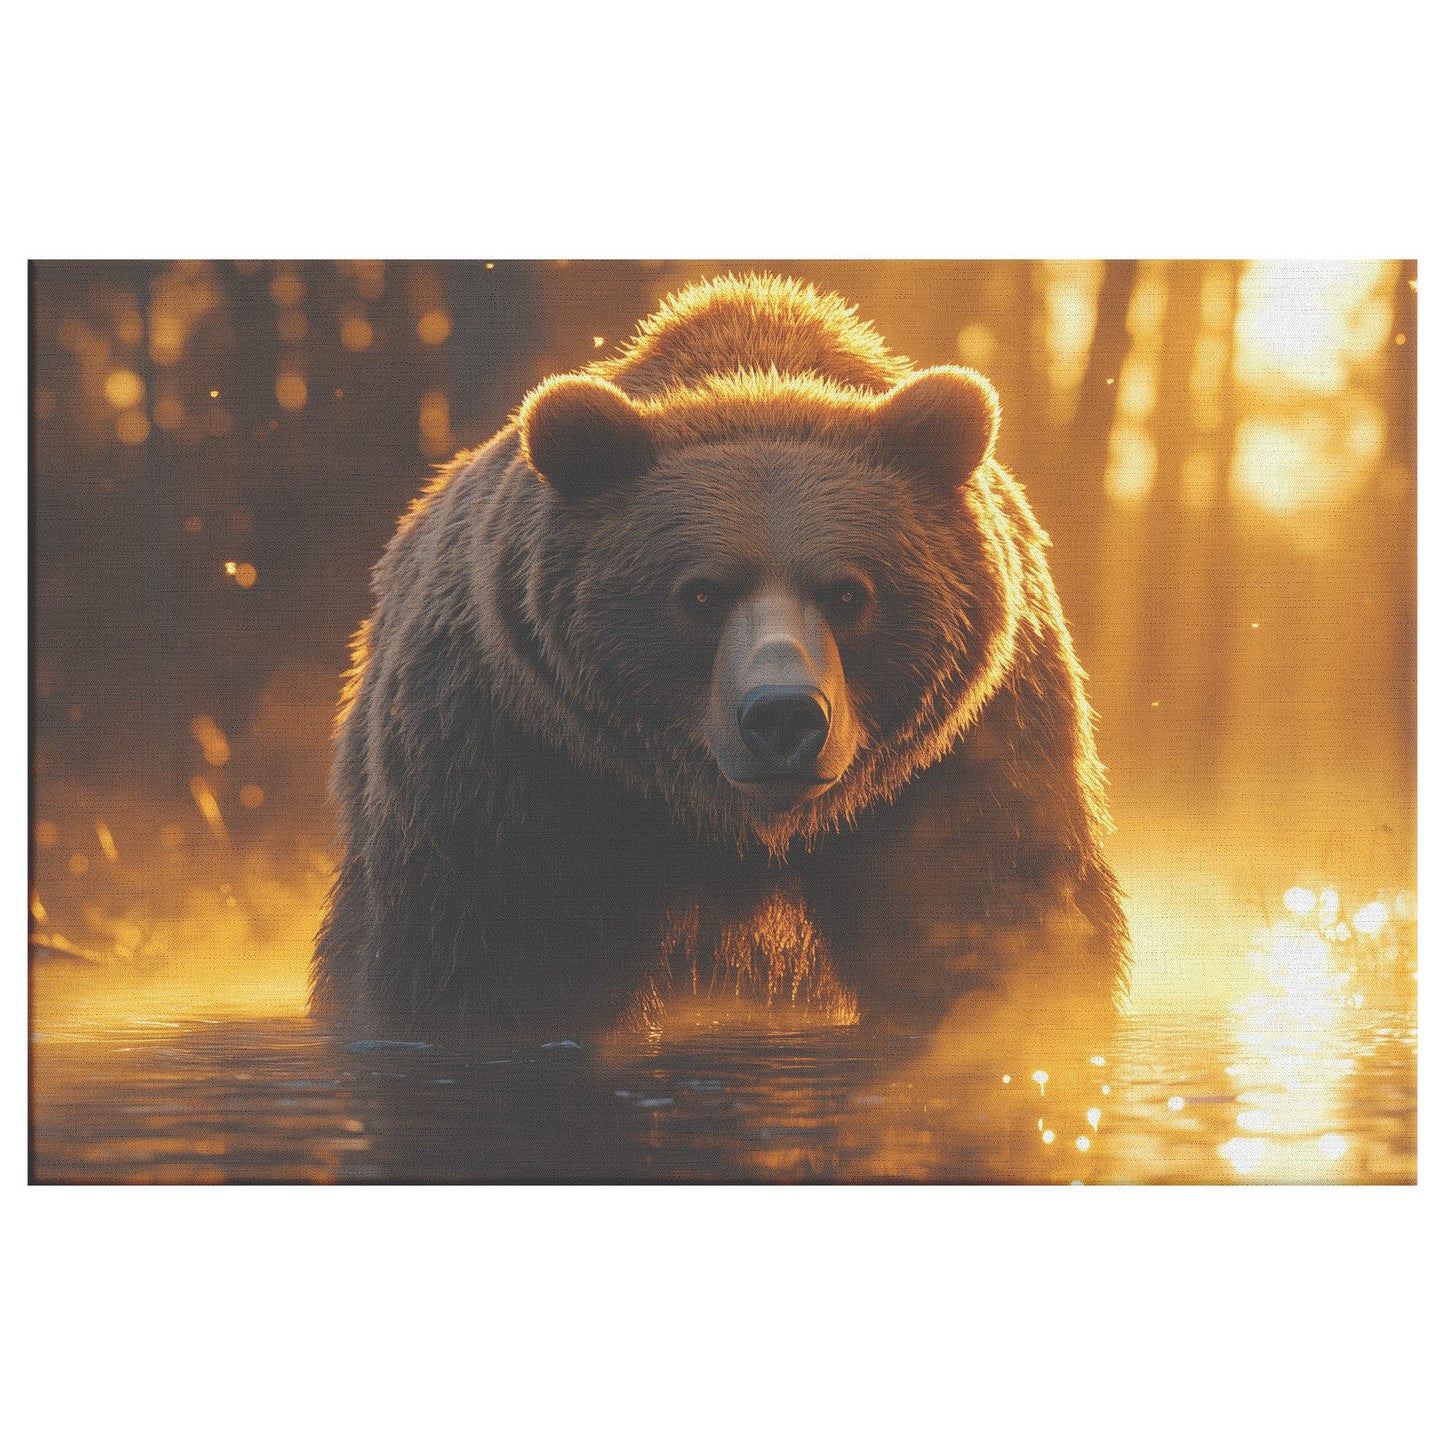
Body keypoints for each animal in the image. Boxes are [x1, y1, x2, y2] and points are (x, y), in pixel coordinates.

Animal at [313, 273, 1128, 1039]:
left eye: (847, 593)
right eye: (701, 593)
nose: (783, 717)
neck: (737, 820)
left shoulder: (967, 753)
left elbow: (992, 916)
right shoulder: (521, 757)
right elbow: (490, 956)